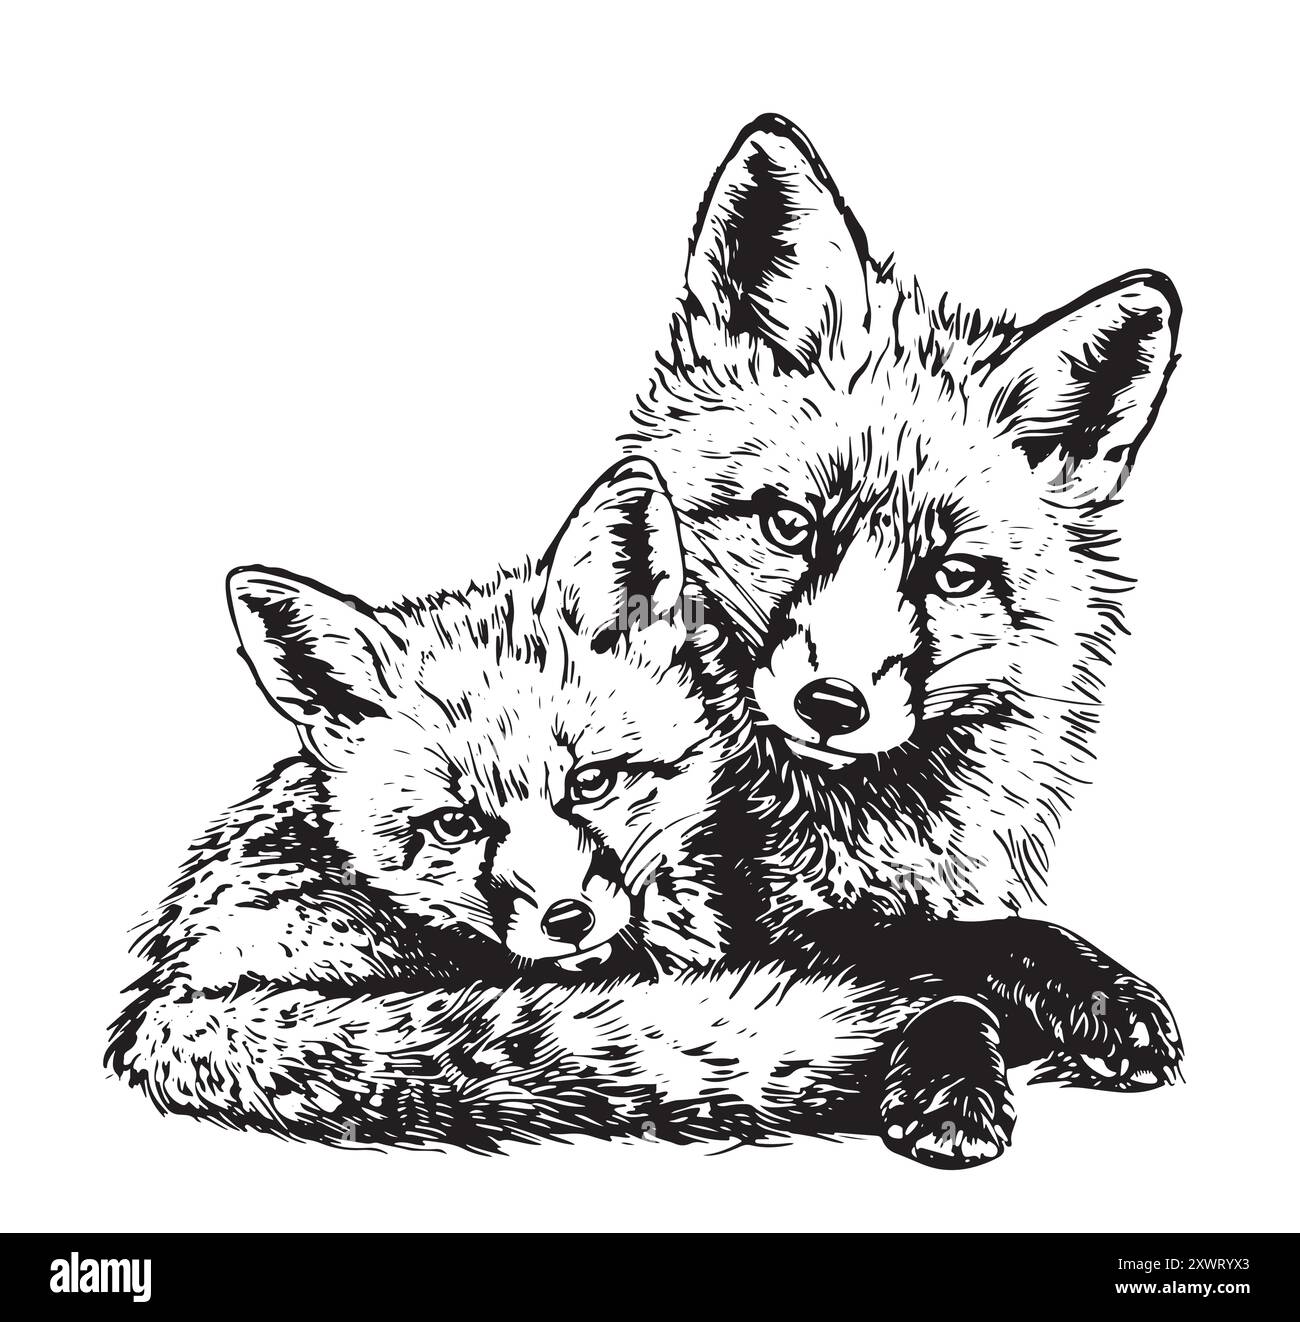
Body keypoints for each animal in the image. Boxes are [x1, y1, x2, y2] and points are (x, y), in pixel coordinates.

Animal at [107, 460, 1176, 1165]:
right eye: (457, 825)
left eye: (592, 783)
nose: (567, 919)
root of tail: (163, 1003)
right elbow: (918, 965)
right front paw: (958, 1063)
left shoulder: (757, 926)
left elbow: (979, 936)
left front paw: (1096, 997)